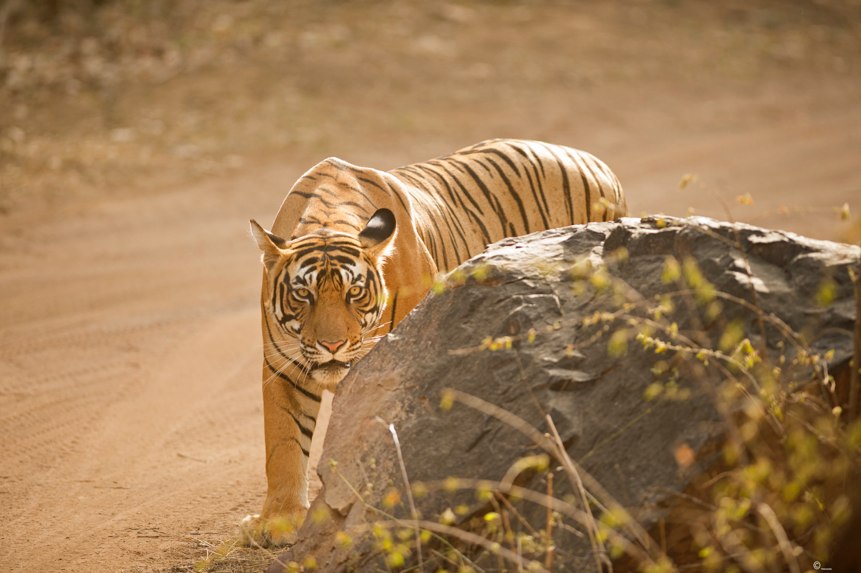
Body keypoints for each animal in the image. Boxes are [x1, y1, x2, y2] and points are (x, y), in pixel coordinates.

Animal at [242, 138, 626, 545]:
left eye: (354, 292)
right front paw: (279, 521)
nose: (332, 345)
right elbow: (283, 443)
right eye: (304, 295)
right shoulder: (283, 367)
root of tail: (596, 162)